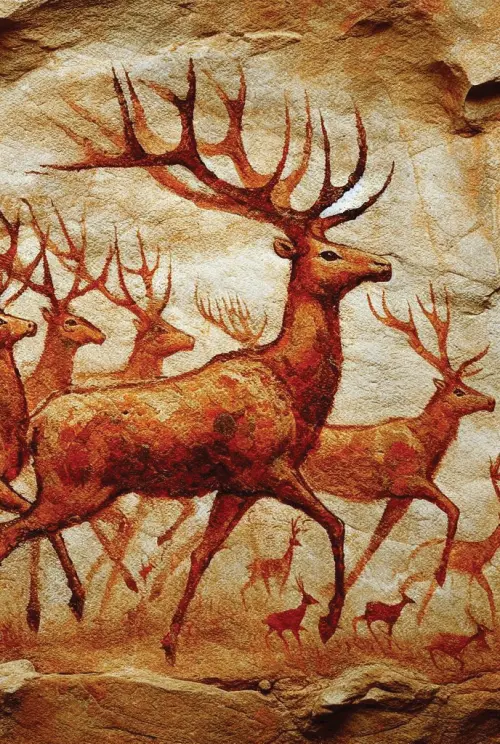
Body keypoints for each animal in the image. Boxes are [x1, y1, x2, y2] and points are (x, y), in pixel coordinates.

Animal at [0, 61, 394, 663]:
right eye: (329, 252)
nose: (383, 264)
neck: (295, 390)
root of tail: (37, 421)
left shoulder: (235, 486)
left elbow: (202, 553)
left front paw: (169, 641)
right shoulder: (268, 466)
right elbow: (337, 523)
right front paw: (328, 624)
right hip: (73, 487)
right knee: (13, 532)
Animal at [302, 285, 495, 593]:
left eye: (467, 385)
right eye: (459, 391)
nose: (490, 401)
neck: (426, 446)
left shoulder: (400, 498)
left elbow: (376, 540)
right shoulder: (406, 480)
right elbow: (454, 509)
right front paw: (440, 574)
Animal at [402, 454, 500, 626]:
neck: (484, 548)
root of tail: (421, 546)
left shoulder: (471, 574)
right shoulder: (477, 571)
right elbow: (489, 593)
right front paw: (493, 625)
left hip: (428, 571)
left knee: (412, 581)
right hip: (430, 570)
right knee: (416, 584)